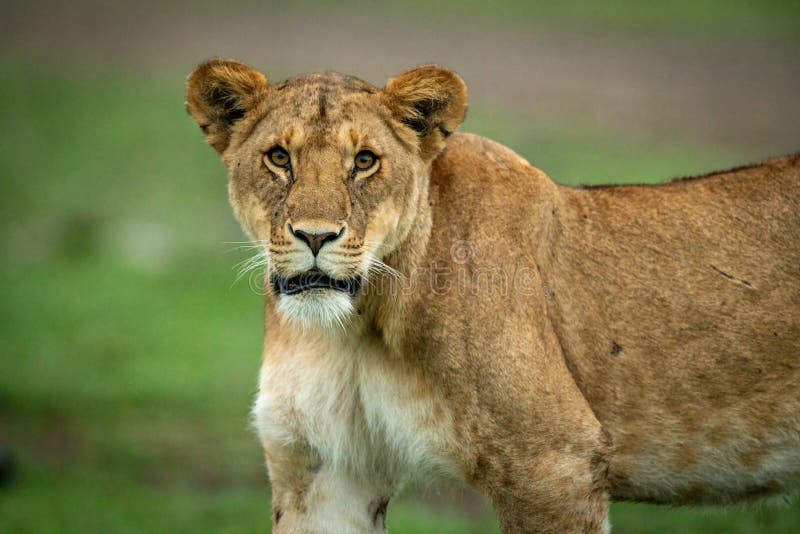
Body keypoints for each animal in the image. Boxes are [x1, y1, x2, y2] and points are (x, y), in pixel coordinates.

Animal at [185, 58, 800, 533]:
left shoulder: (553, 465)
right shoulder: (320, 469)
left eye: (364, 161)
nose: (316, 236)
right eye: (278, 157)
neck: (357, 326)